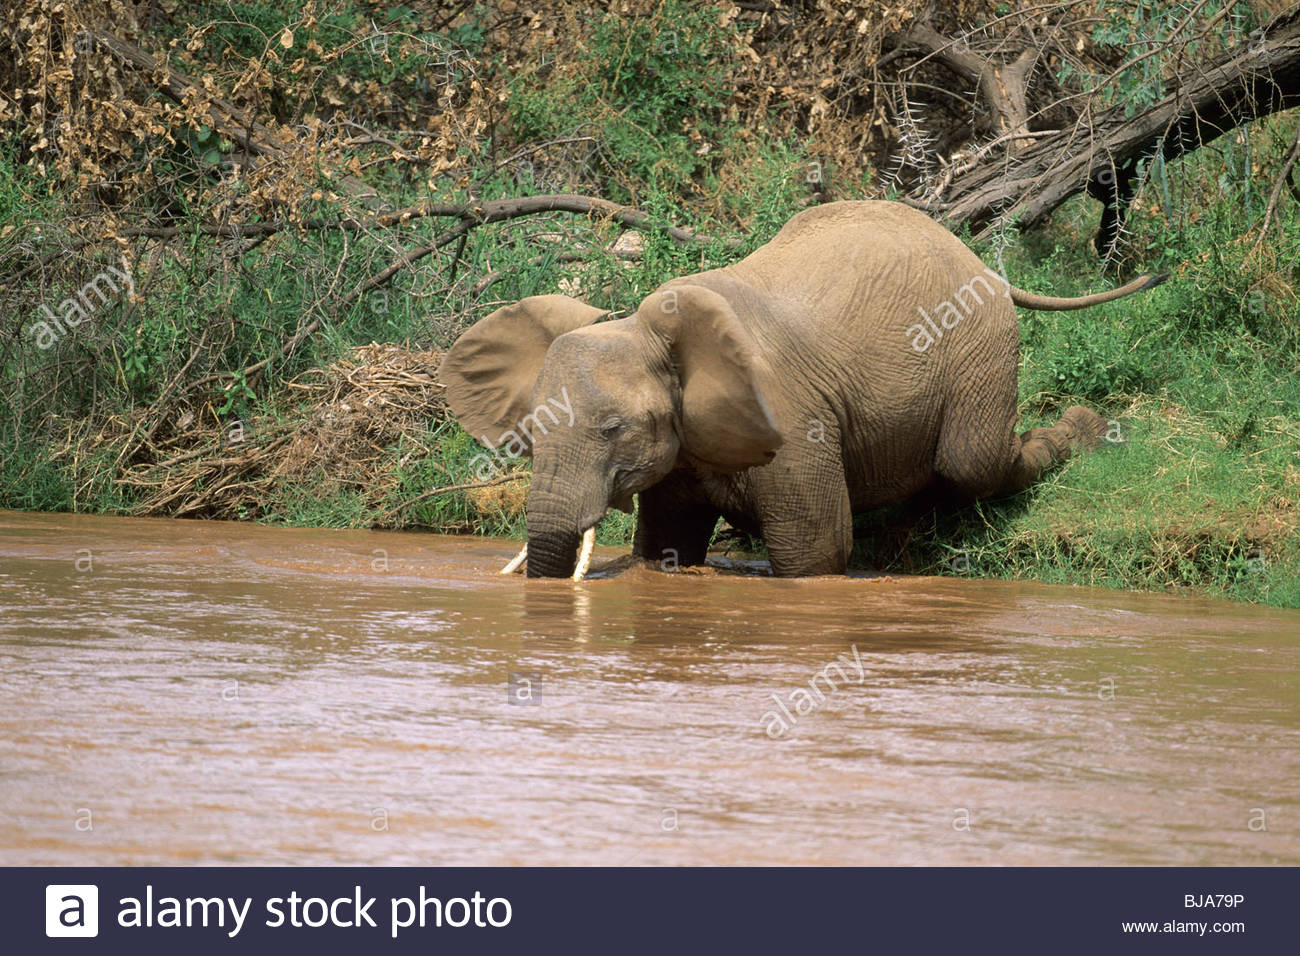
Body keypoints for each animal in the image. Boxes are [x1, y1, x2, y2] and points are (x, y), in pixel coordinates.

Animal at [438, 200, 1166, 579]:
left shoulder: (791, 420)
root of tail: (982, 263)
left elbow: (815, 550)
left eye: (615, 430)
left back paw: (1087, 428)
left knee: (973, 460)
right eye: (530, 435)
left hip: (980, 345)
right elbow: (668, 546)